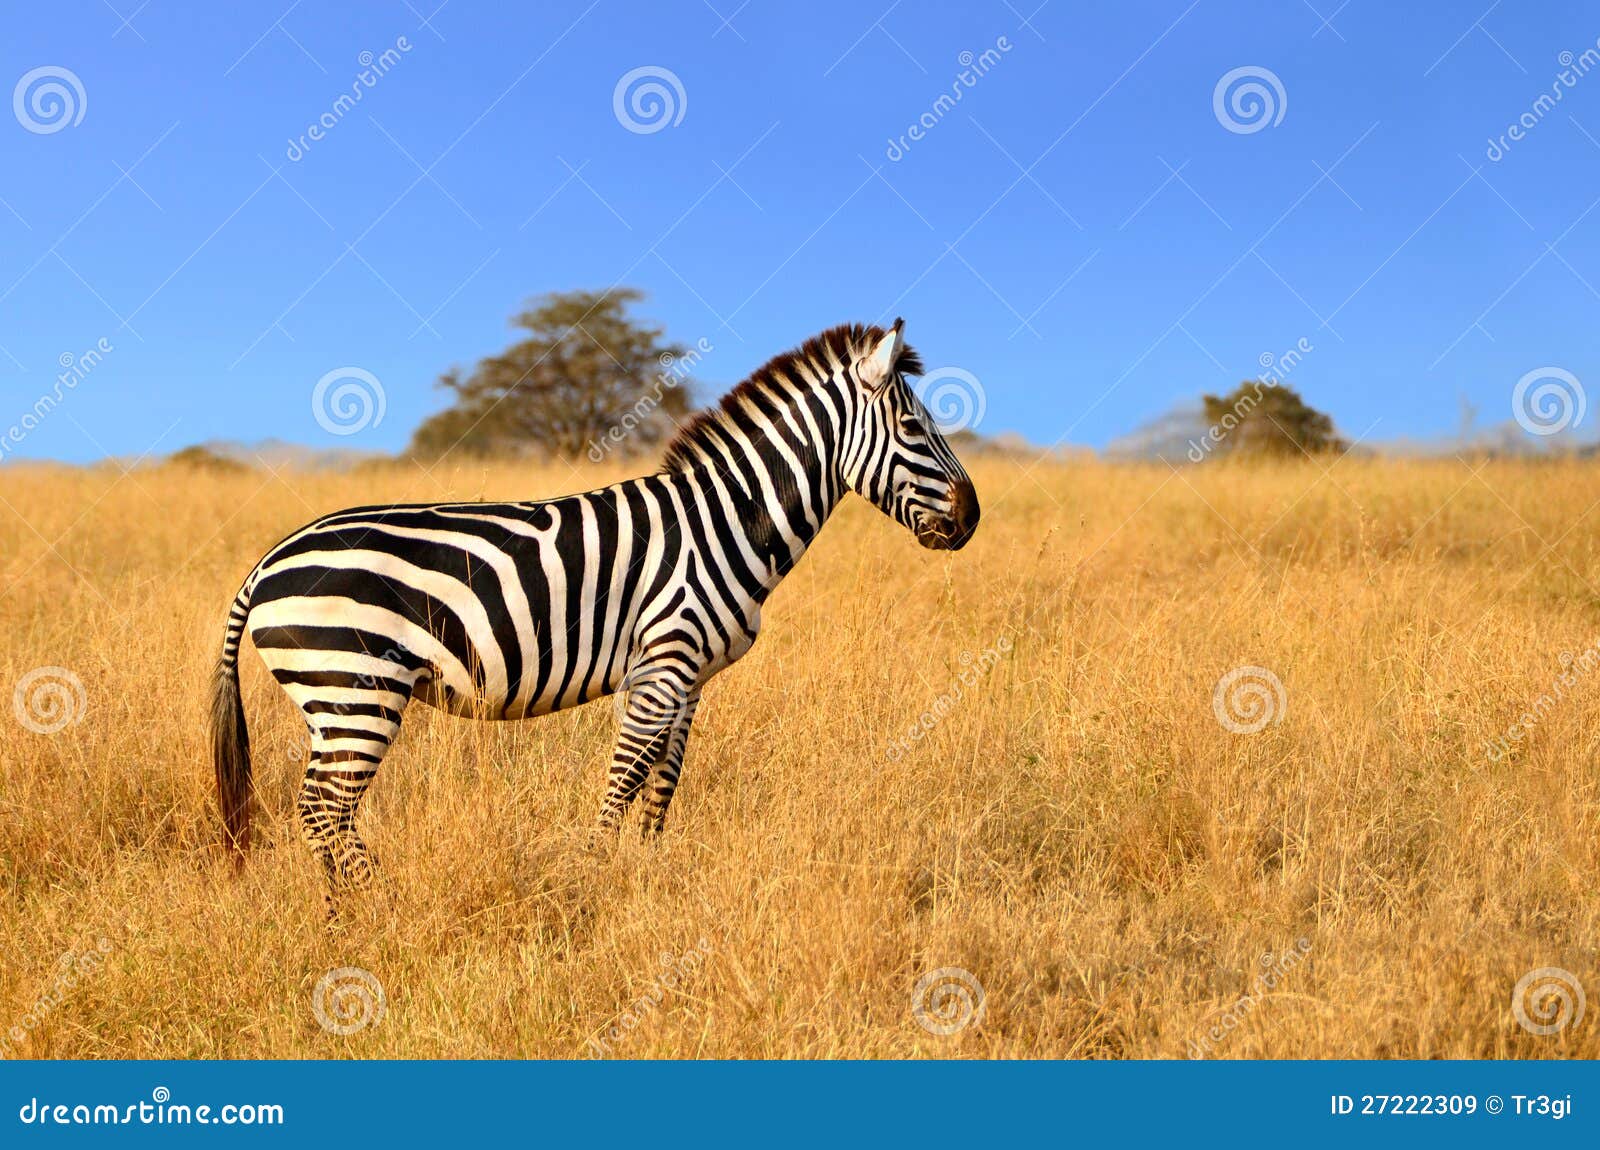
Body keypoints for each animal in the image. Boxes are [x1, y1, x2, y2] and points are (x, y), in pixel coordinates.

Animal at [211, 319, 980, 897]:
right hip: (355, 688)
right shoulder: (665, 662)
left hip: (337, 697)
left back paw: (344, 909)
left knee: (322, 810)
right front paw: (593, 876)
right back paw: (377, 904)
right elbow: (626, 776)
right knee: (324, 806)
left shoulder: (686, 679)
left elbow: (663, 783)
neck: (725, 520)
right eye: (913, 425)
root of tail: (266, 564)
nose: (972, 518)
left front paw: (647, 875)